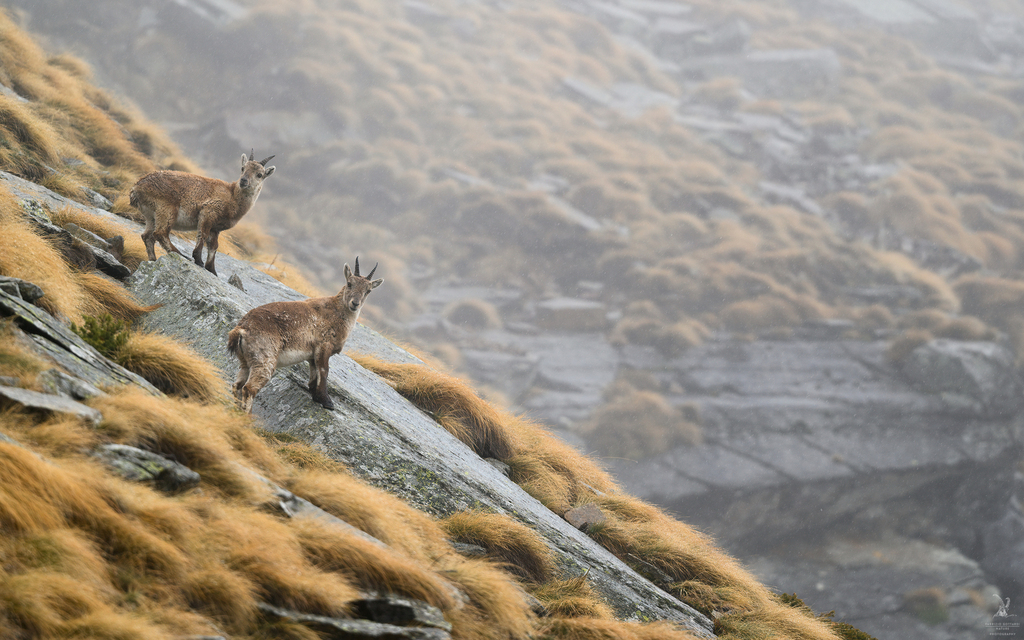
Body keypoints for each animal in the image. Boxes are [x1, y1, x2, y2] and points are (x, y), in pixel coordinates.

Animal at [130, 151, 276, 276]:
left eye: (259, 174)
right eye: (242, 168)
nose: (244, 181)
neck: (232, 196)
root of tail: (137, 187)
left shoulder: (216, 228)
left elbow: (214, 246)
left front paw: (212, 269)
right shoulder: (208, 212)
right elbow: (203, 235)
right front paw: (198, 260)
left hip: (151, 216)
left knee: (147, 236)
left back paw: (153, 260)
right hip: (167, 209)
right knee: (160, 233)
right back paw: (180, 254)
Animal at [227, 257, 382, 412]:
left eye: (368, 291)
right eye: (349, 283)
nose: (355, 303)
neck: (337, 312)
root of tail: (241, 329)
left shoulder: (312, 355)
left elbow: (314, 376)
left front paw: (316, 396)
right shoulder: (324, 346)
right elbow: (324, 371)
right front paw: (327, 402)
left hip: (246, 362)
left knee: (237, 386)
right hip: (265, 360)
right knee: (249, 389)